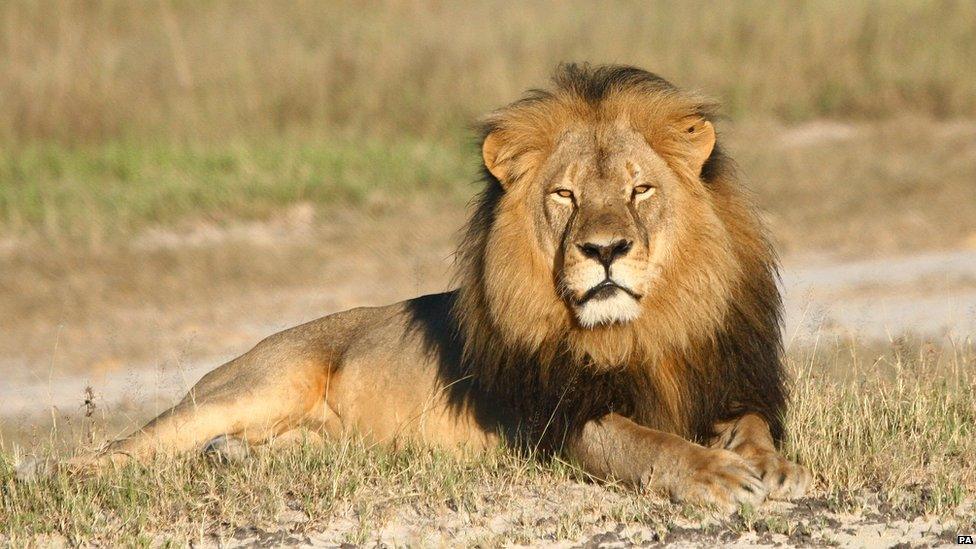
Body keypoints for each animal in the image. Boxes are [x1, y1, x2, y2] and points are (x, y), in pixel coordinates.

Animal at [22, 64, 811, 509]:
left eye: (640, 189)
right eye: (564, 195)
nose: (606, 249)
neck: (641, 331)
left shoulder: (726, 382)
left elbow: (754, 426)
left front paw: (773, 468)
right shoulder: (557, 422)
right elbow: (644, 444)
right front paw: (716, 475)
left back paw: (234, 457)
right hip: (253, 383)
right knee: (126, 446)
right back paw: (51, 473)